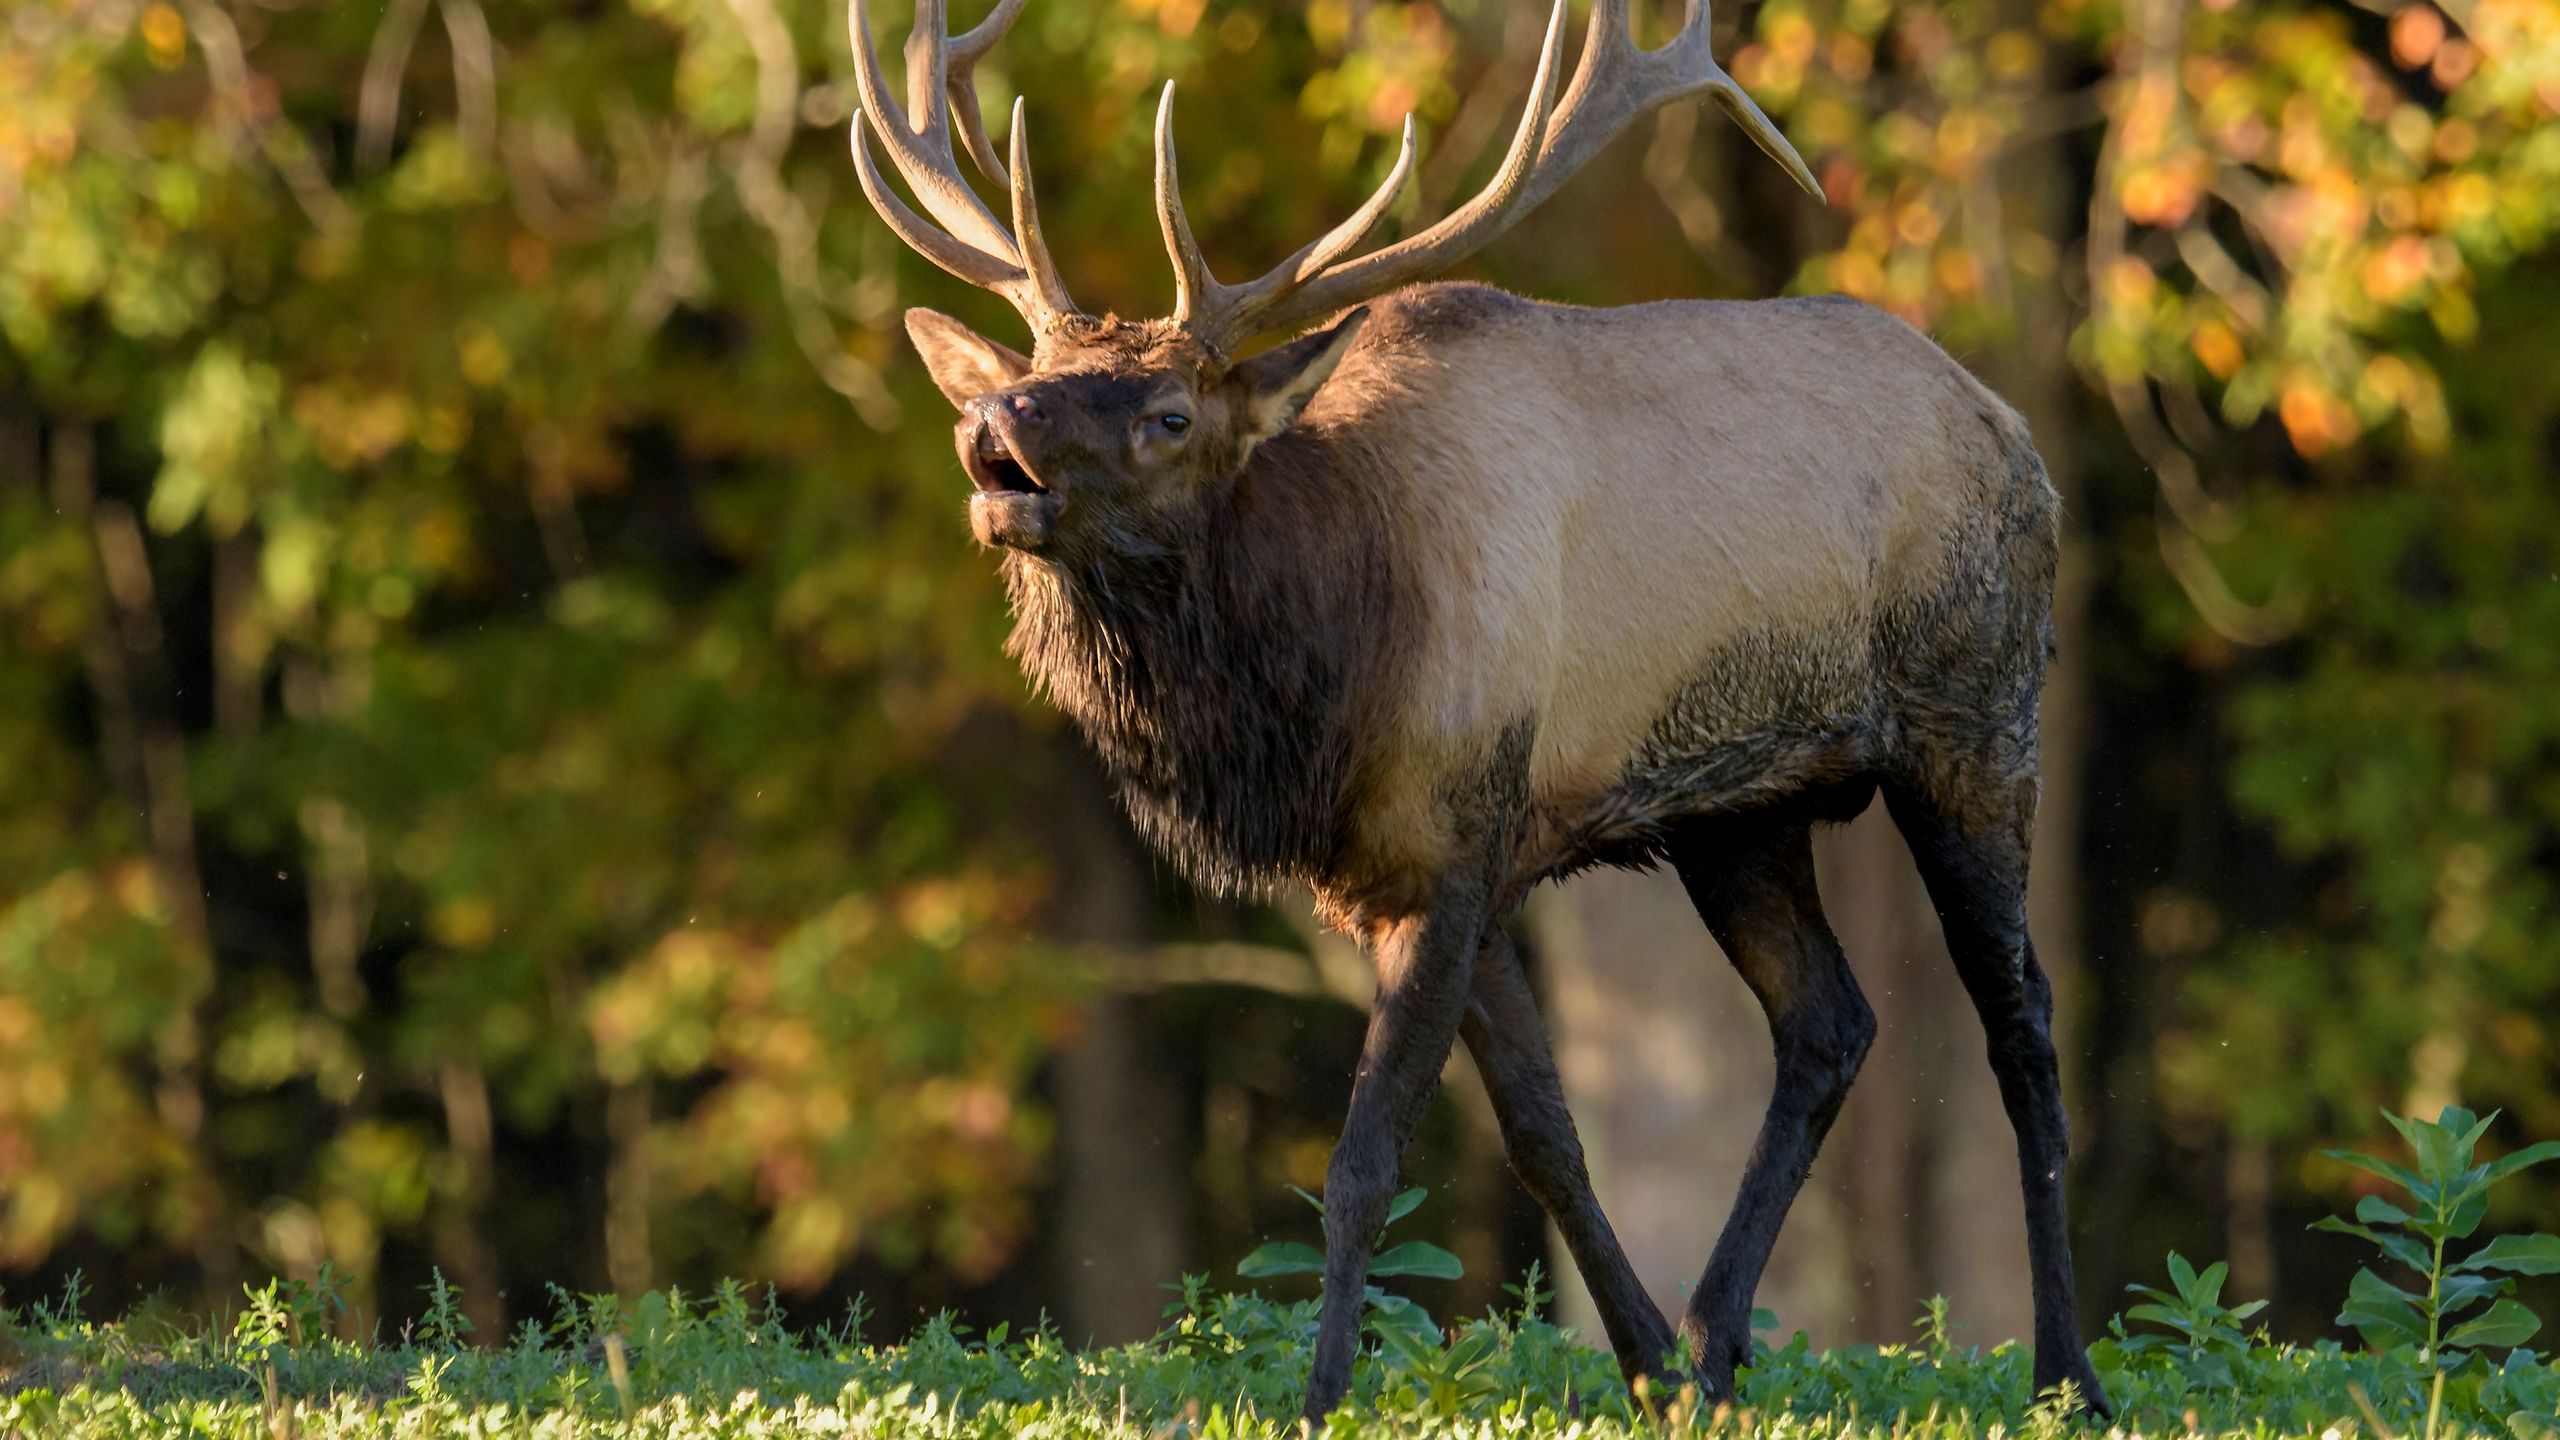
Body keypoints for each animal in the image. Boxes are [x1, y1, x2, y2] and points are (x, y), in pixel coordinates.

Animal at [846, 0, 2109, 1419]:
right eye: (1040, 370)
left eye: (1169, 413)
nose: (993, 431)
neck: (1318, 686)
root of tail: (2015, 433)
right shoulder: (1409, 870)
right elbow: (1544, 1135)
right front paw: (1649, 1371)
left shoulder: (1453, 841)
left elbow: (1363, 1163)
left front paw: (1319, 1400)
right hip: (1744, 808)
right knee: (1829, 1021)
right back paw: (1719, 1340)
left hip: (1976, 716)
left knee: (2023, 1022)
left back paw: (2068, 1373)